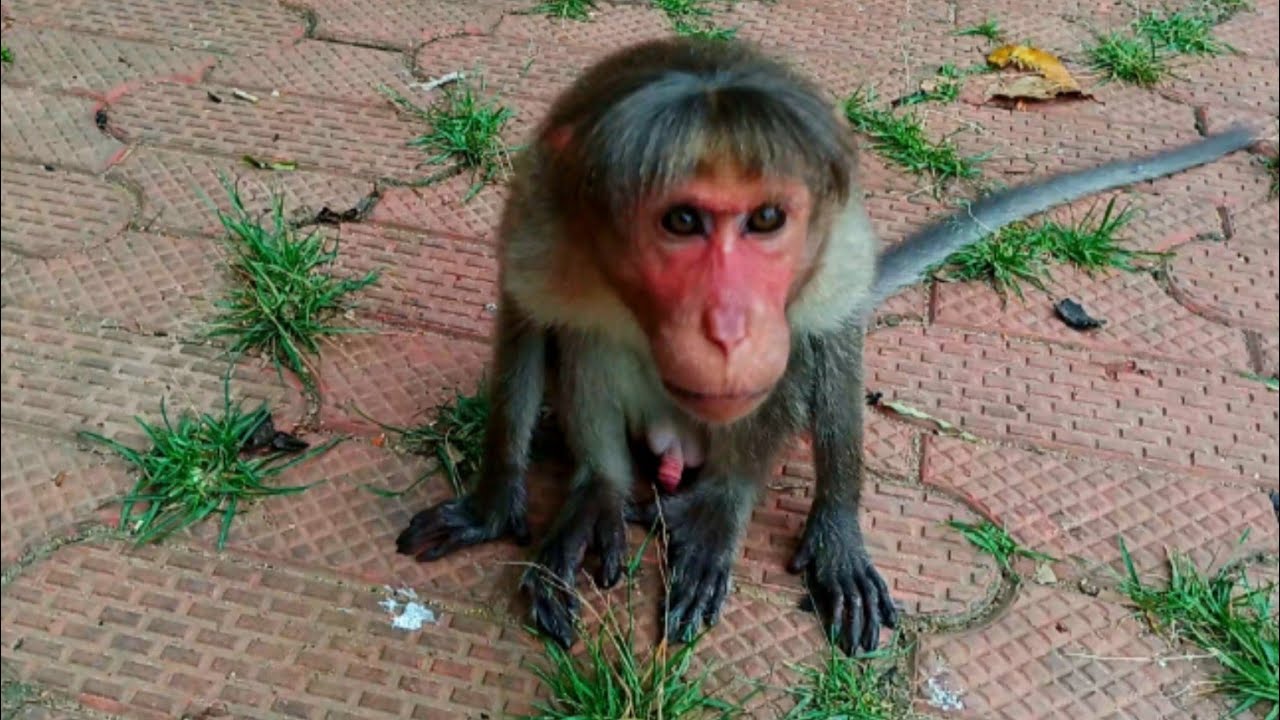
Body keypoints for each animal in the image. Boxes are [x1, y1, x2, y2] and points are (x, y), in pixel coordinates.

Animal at [395, 37, 1256, 655]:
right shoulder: (544, 213)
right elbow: (526, 319)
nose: (730, 320)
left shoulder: (827, 235)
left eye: (767, 221)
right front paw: (493, 503)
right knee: (588, 343)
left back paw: (719, 505)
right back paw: (597, 495)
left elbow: (827, 333)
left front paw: (831, 528)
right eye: (682, 222)